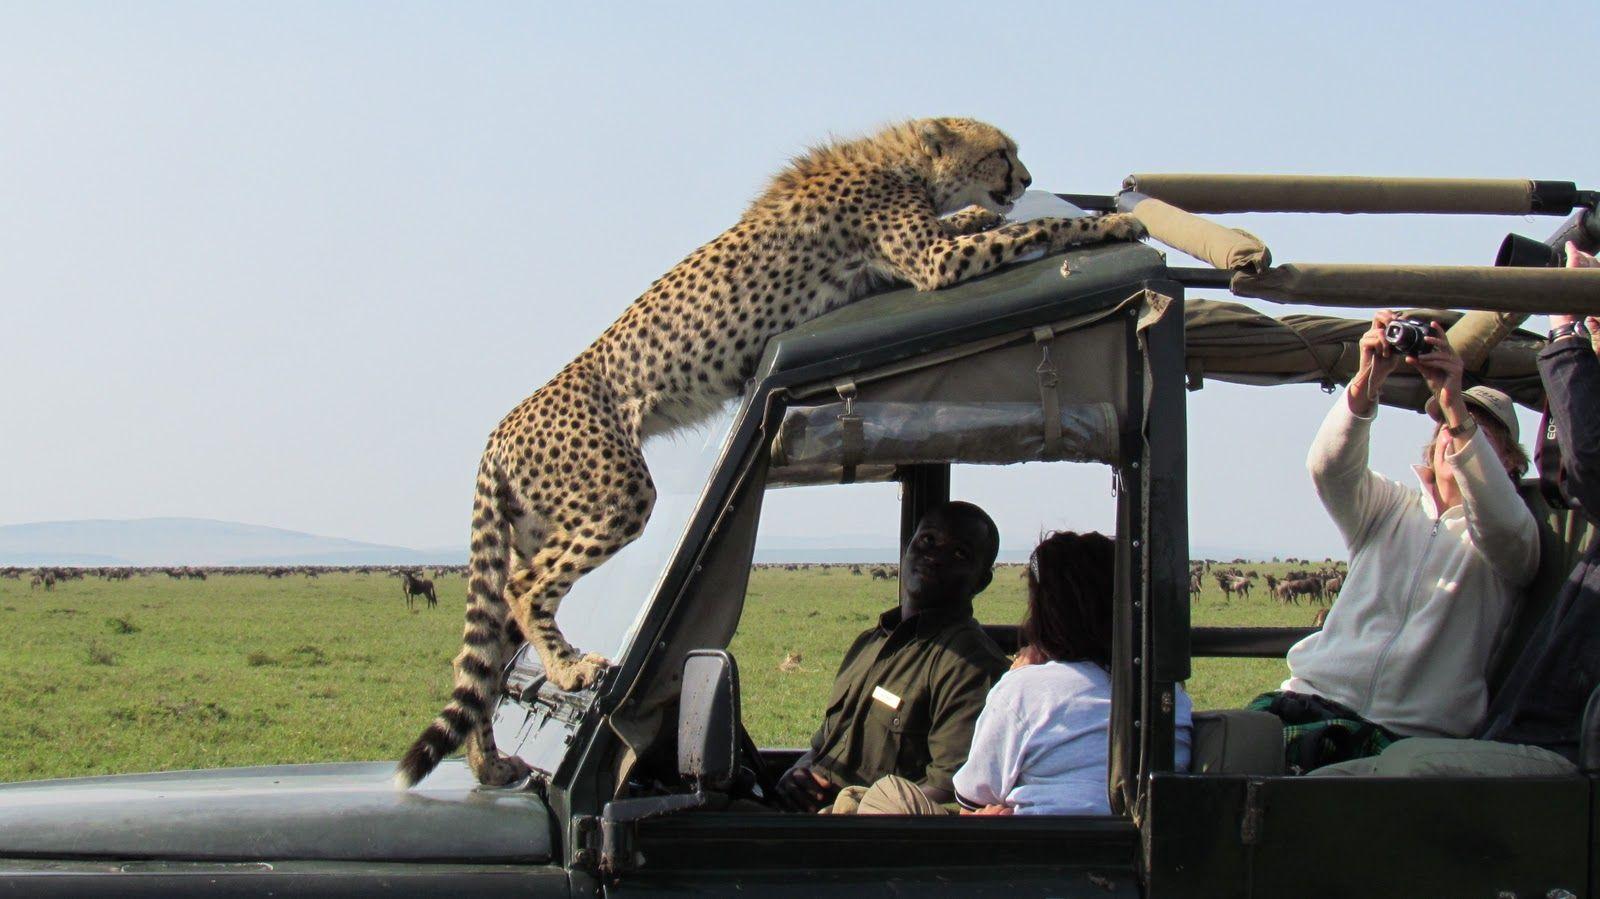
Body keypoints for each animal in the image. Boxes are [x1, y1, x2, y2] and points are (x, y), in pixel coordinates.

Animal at [400, 117, 1152, 783]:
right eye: (1001, 151)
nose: (1023, 177)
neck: (904, 162)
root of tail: (500, 428)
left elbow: (987, 226)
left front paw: (996, 214)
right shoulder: (932, 262)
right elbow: (1031, 230)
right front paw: (1106, 226)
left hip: (539, 524)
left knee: (490, 645)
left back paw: (491, 762)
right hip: (616, 495)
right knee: (525, 591)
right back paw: (569, 670)